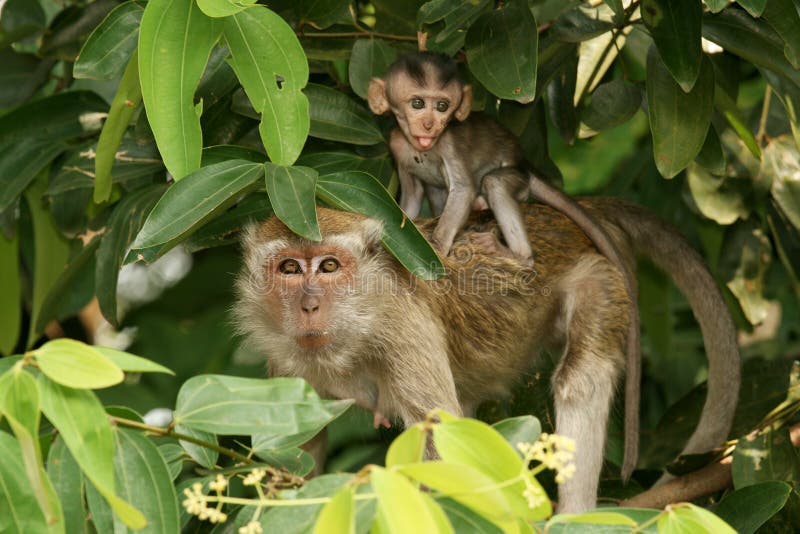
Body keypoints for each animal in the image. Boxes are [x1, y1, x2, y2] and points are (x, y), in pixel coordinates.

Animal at [234, 200, 740, 513]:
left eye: (329, 266)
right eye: (289, 268)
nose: (309, 305)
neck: (354, 328)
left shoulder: (403, 328)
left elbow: (440, 442)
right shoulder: (286, 360)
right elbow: (299, 445)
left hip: (602, 277)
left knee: (581, 378)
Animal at [367, 51, 644, 480]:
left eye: (442, 106)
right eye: (417, 103)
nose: (429, 124)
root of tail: (529, 168)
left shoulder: (449, 146)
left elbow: (462, 189)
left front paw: (437, 248)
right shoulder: (398, 147)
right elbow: (408, 201)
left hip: (514, 181)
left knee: (493, 185)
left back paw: (515, 251)